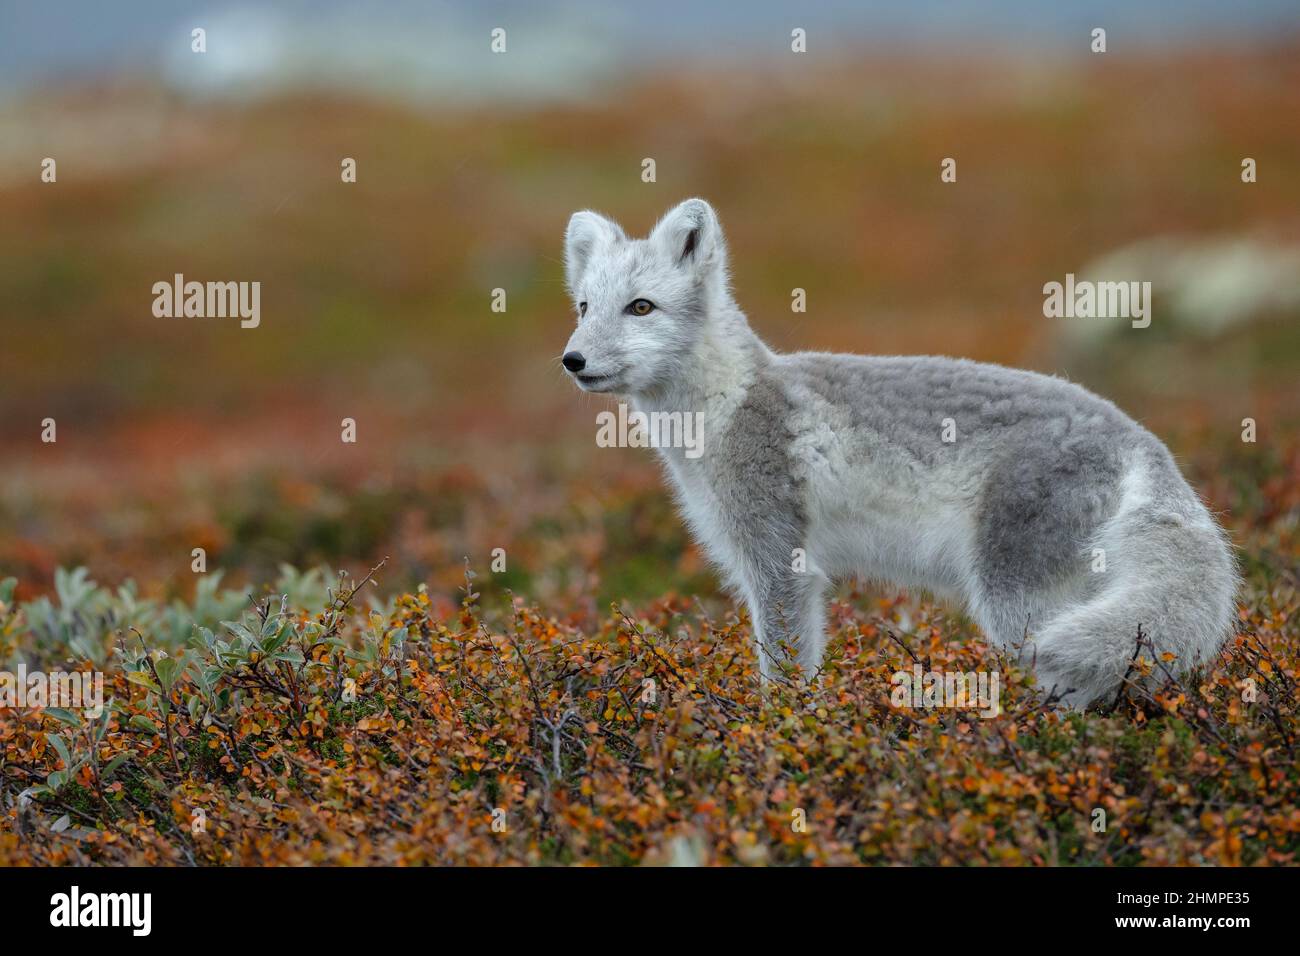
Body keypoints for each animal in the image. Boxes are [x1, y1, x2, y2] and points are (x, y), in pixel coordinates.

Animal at [560, 198, 1238, 707]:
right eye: (585, 307)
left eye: (641, 307)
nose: (572, 360)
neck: (723, 405)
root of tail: (1141, 438)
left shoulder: (778, 561)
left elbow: (784, 671)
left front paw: (780, 731)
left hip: (1016, 603)